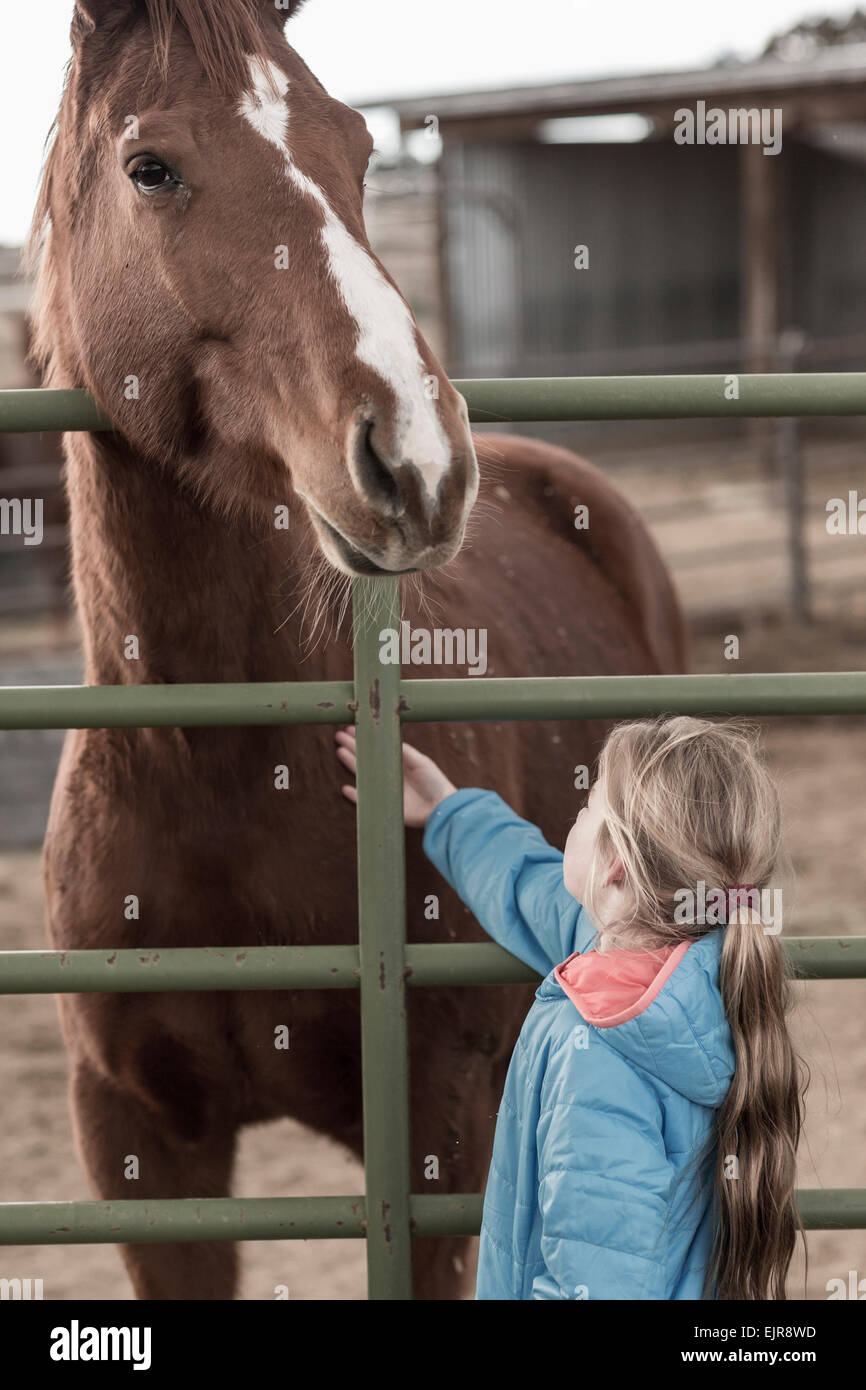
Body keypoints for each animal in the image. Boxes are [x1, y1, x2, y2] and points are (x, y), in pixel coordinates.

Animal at [27, 0, 687, 1300]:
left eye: (359, 151)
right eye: (149, 166)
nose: (419, 456)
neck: (216, 768)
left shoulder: (434, 1139)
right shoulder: (141, 1149)